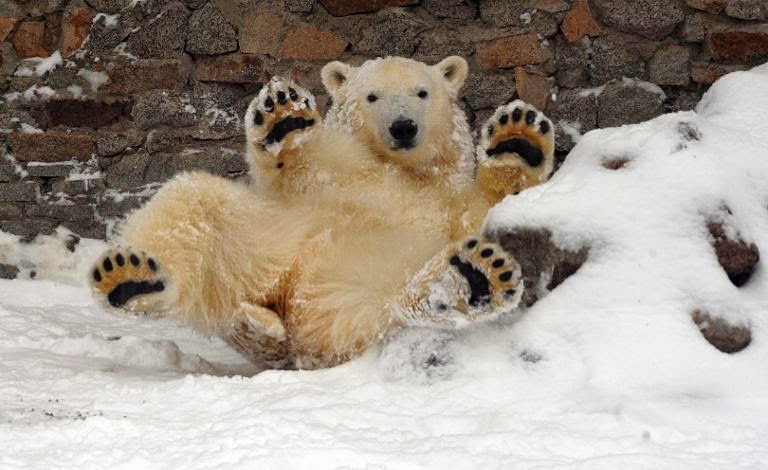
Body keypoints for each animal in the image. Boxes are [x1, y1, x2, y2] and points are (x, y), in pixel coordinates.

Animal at [89, 57, 555, 370]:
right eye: (372, 96)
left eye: (422, 92)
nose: (403, 127)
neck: (409, 173)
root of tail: (284, 300)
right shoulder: (335, 181)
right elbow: (300, 168)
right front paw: (282, 120)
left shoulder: (450, 203)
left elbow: (485, 208)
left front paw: (519, 140)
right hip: (277, 242)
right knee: (193, 202)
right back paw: (132, 277)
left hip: (345, 290)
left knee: (377, 310)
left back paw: (467, 279)